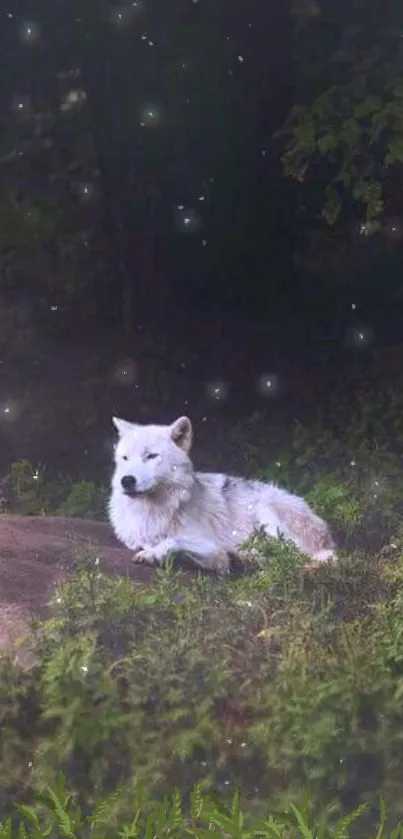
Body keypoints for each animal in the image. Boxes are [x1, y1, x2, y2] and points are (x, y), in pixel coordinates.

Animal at [108, 415, 336, 574]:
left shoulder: (211, 546)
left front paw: (152, 554)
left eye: (151, 456)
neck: (152, 510)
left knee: (294, 556)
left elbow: (174, 541)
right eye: (125, 458)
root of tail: (327, 537)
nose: (126, 480)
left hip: (265, 510)